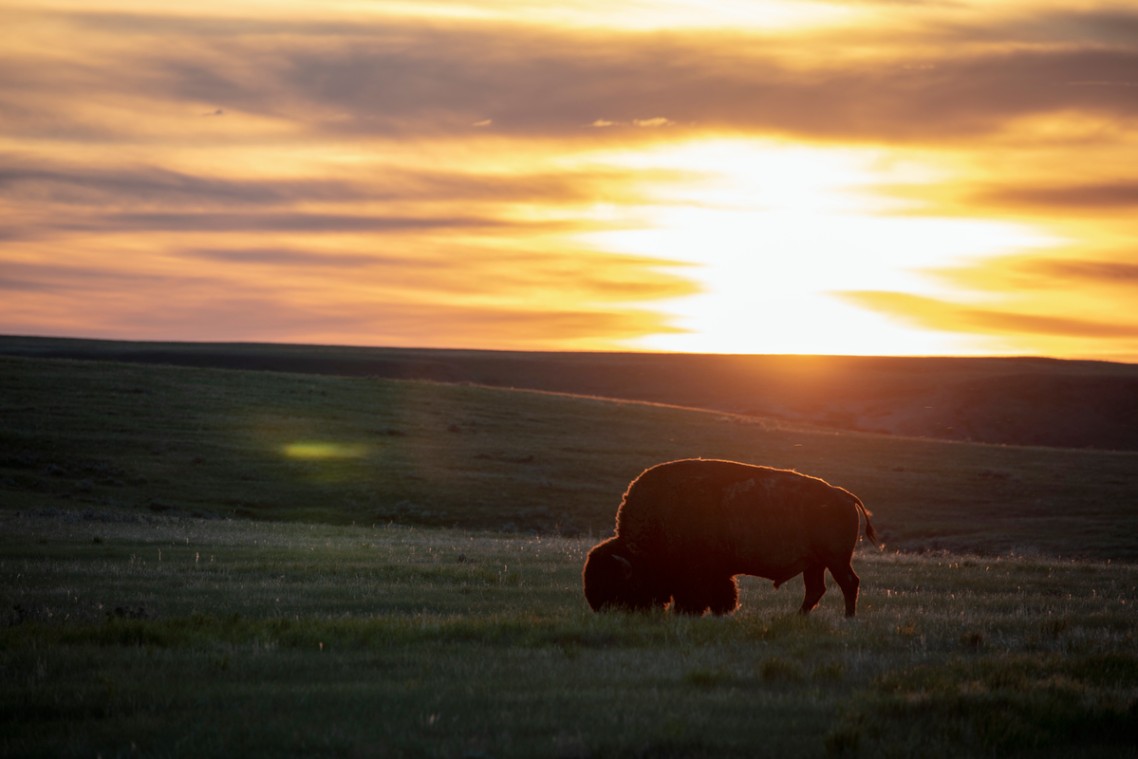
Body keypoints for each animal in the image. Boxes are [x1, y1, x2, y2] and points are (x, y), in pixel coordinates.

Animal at [583, 459, 879, 617]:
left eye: (616, 584)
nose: (601, 608)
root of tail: (843, 495)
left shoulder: (700, 575)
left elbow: (702, 596)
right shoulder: (717, 574)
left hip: (835, 559)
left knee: (849, 583)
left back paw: (848, 617)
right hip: (815, 563)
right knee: (816, 589)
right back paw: (800, 616)